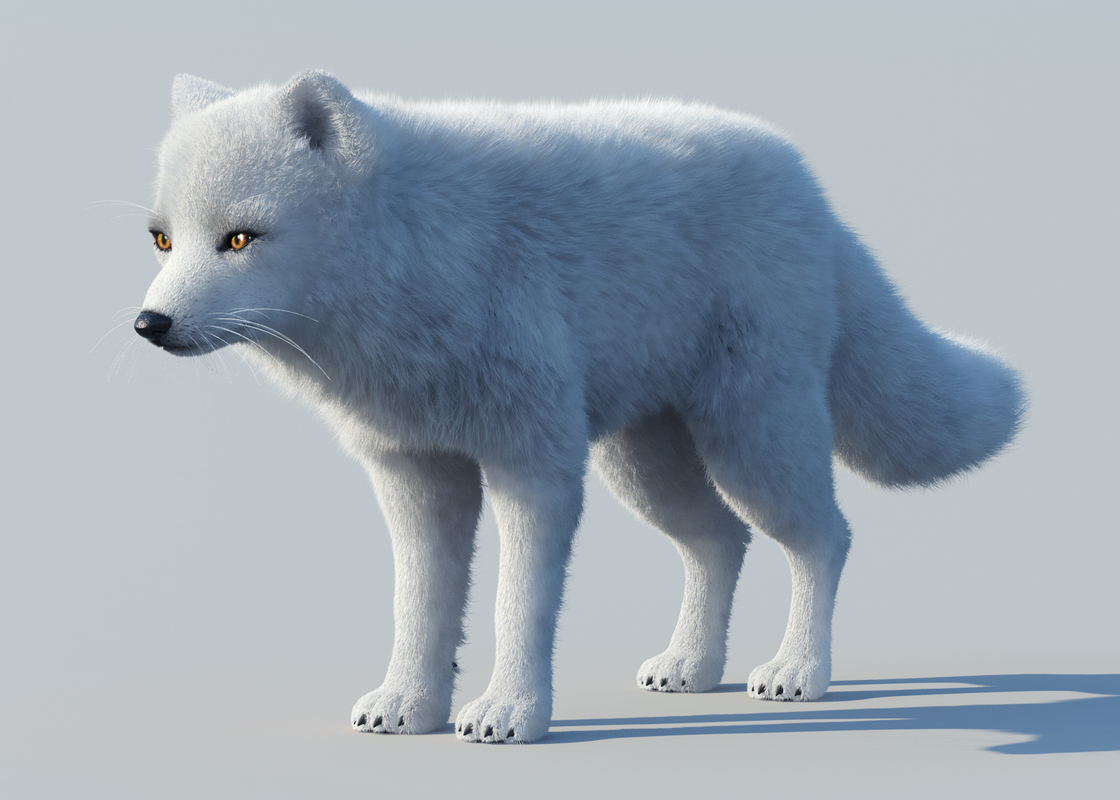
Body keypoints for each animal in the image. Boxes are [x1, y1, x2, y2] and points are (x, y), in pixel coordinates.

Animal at [133, 71, 1024, 744]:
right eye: (164, 240)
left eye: (240, 238)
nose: (150, 325)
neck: (422, 251)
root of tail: (809, 184)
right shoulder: (416, 471)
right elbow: (420, 605)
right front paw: (408, 706)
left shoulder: (536, 465)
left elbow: (516, 604)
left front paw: (509, 715)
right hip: (645, 462)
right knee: (720, 540)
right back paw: (692, 668)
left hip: (751, 440)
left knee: (824, 539)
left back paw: (798, 671)